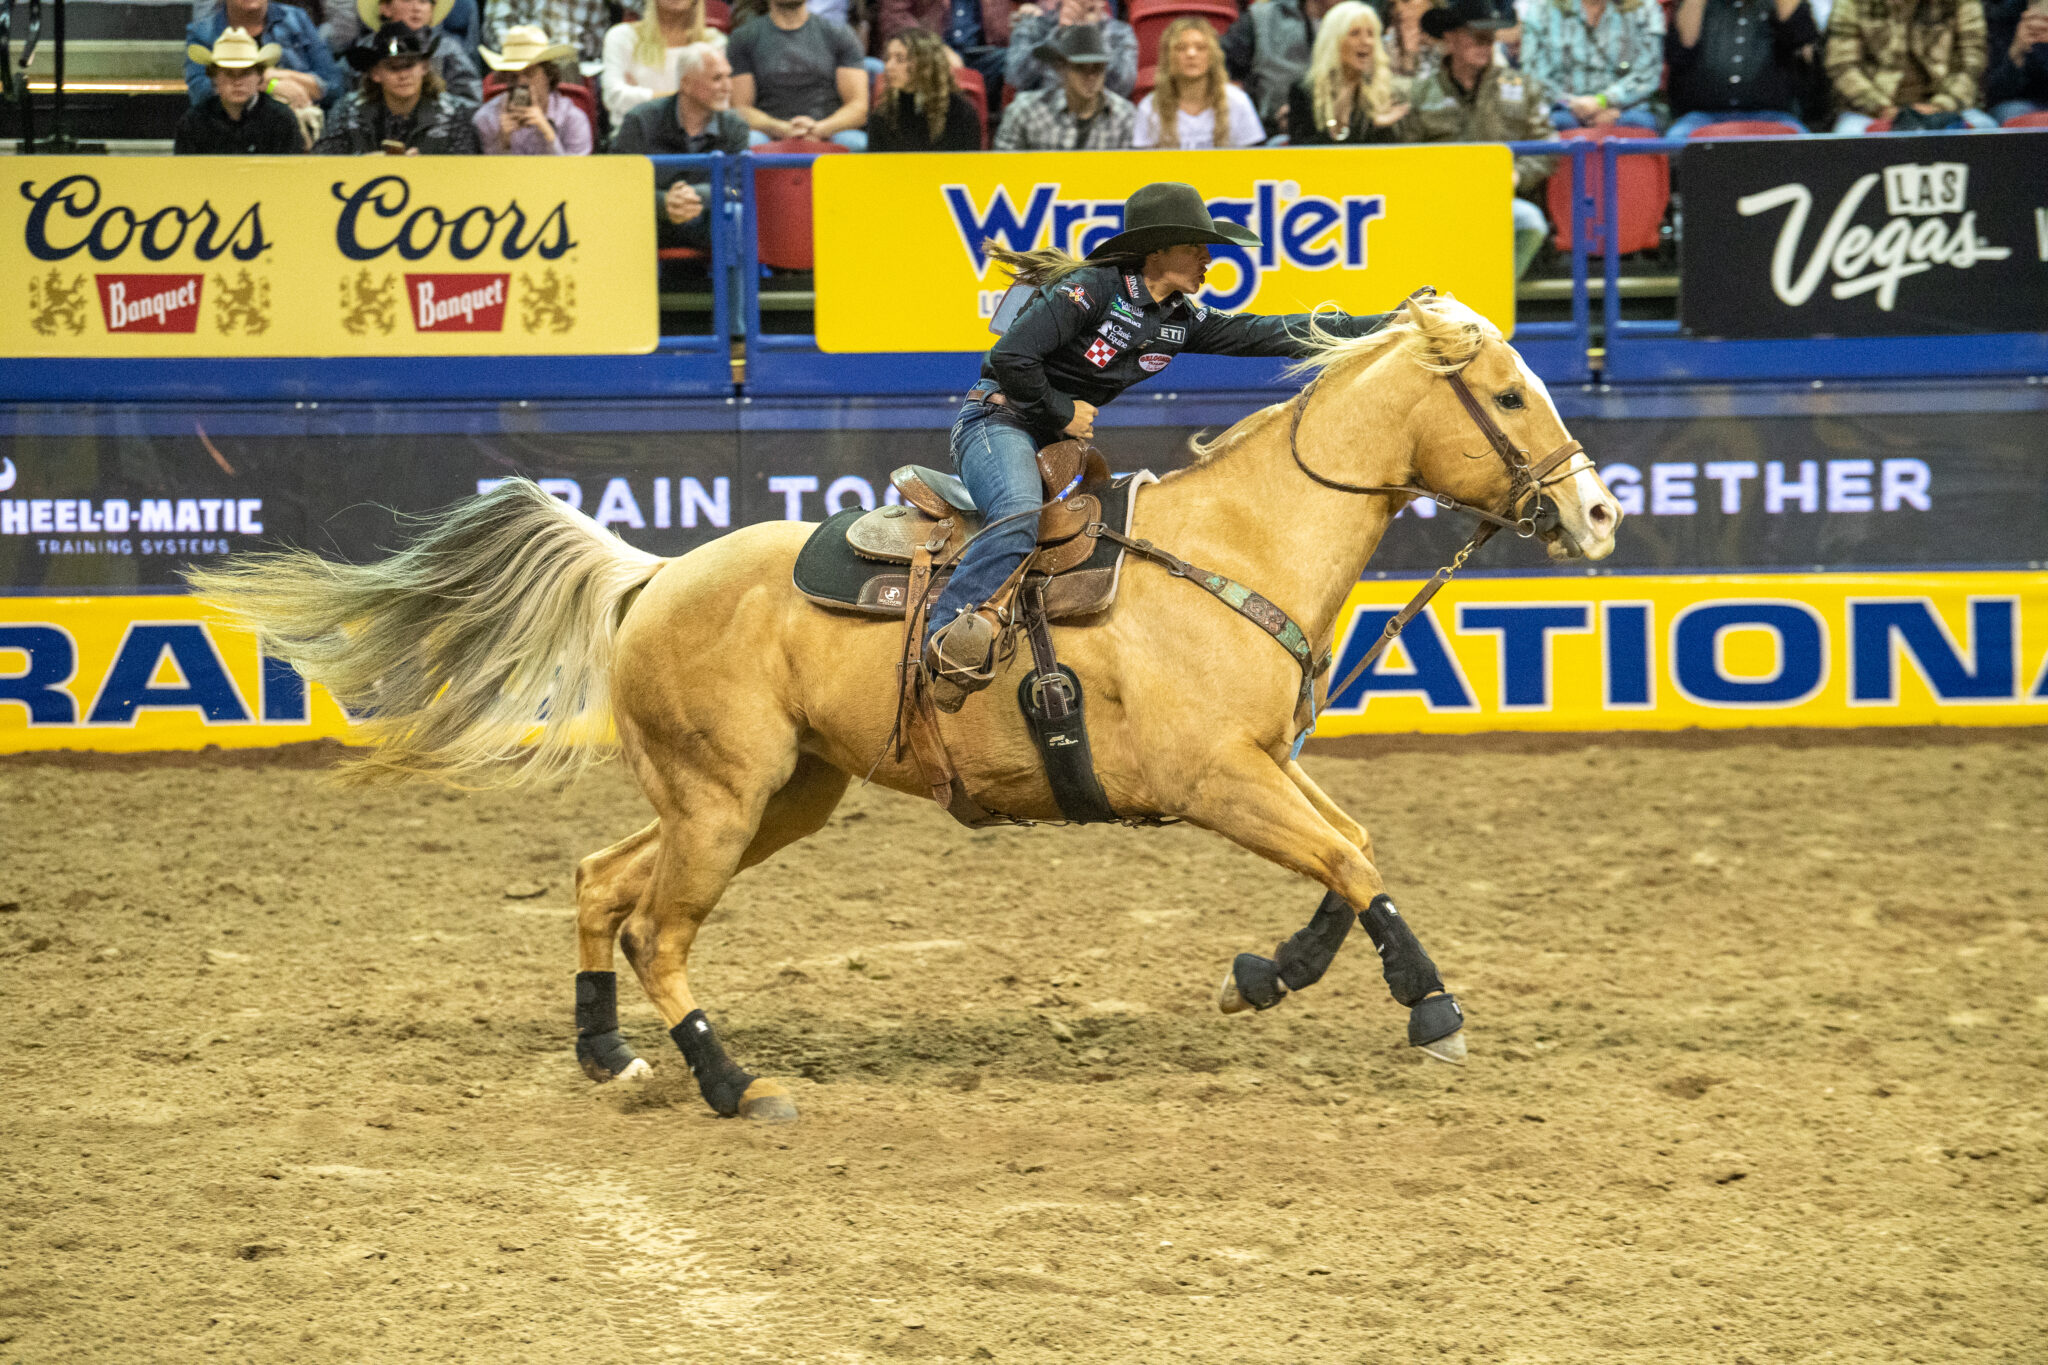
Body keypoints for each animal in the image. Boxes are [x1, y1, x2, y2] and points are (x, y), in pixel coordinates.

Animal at [189, 292, 1622, 1124]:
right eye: (1506, 394)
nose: (1598, 511)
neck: (1232, 549)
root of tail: (652, 575)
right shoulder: (1216, 778)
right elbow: (1348, 858)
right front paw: (1429, 1009)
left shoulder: (1265, 760)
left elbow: (1351, 854)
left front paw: (1270, 973)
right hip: (725, 801)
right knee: (657, 928)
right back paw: (733, 1083)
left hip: (770, 796)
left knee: (602, 882)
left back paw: (609, 1058)